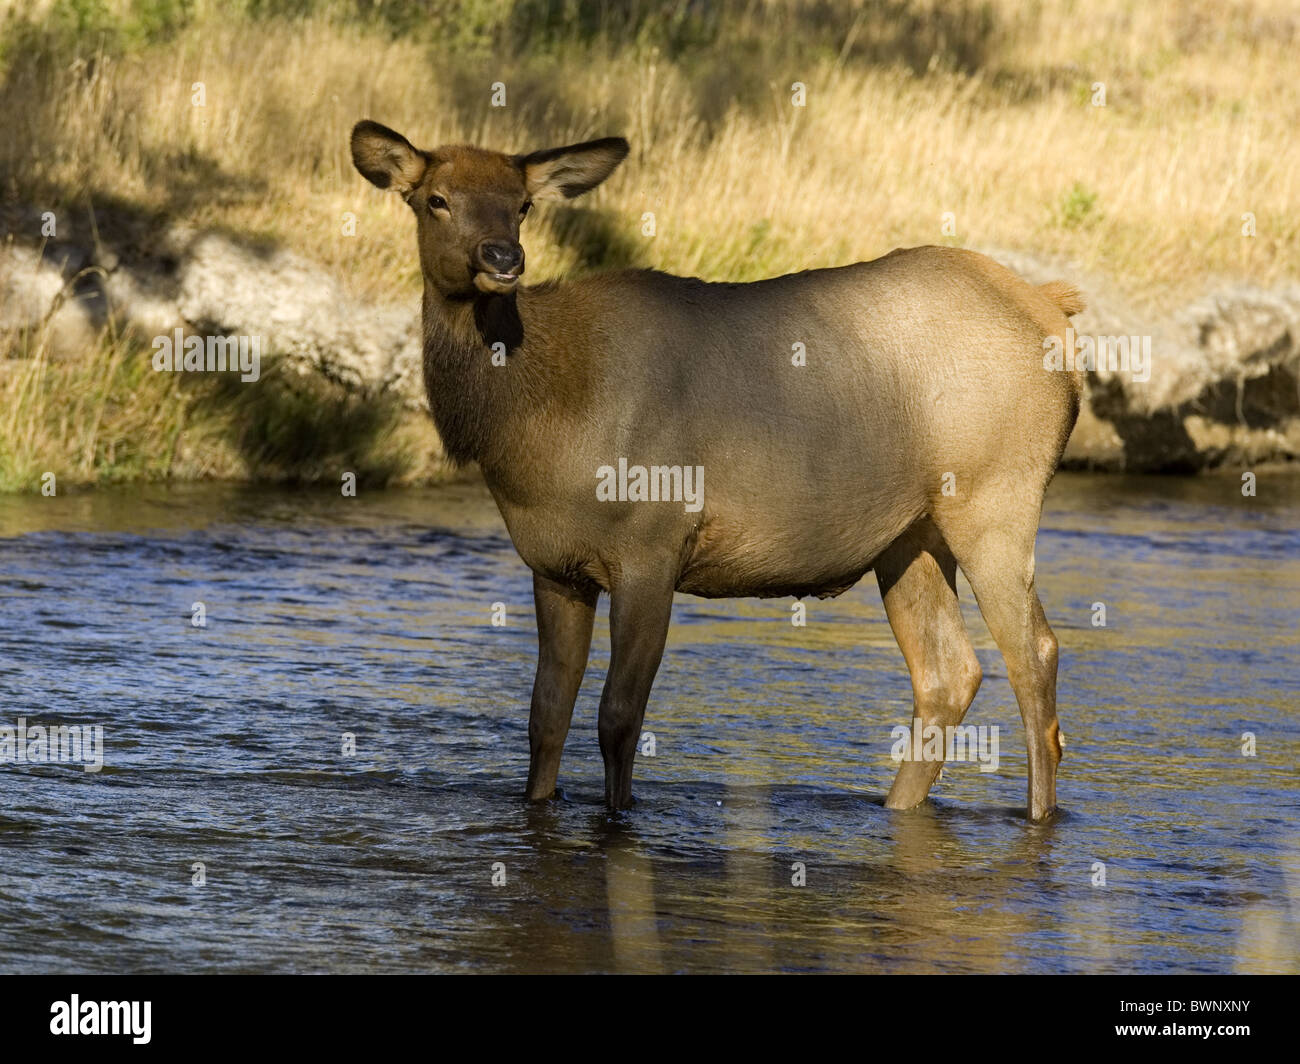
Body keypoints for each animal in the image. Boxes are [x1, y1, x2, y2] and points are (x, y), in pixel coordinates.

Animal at [350, 119, 1085, 821]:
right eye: (435, 199)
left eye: (522, 204)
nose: (502, 259)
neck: (531, 433)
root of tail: (1056, 312)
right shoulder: (553, 564)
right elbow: (545, 718)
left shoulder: (652, 543)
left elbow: (618, 719)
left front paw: (620, 816)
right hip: (910, 536)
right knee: (948, 672)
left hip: (996, 496)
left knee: (1035, 658)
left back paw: (1038, 814)